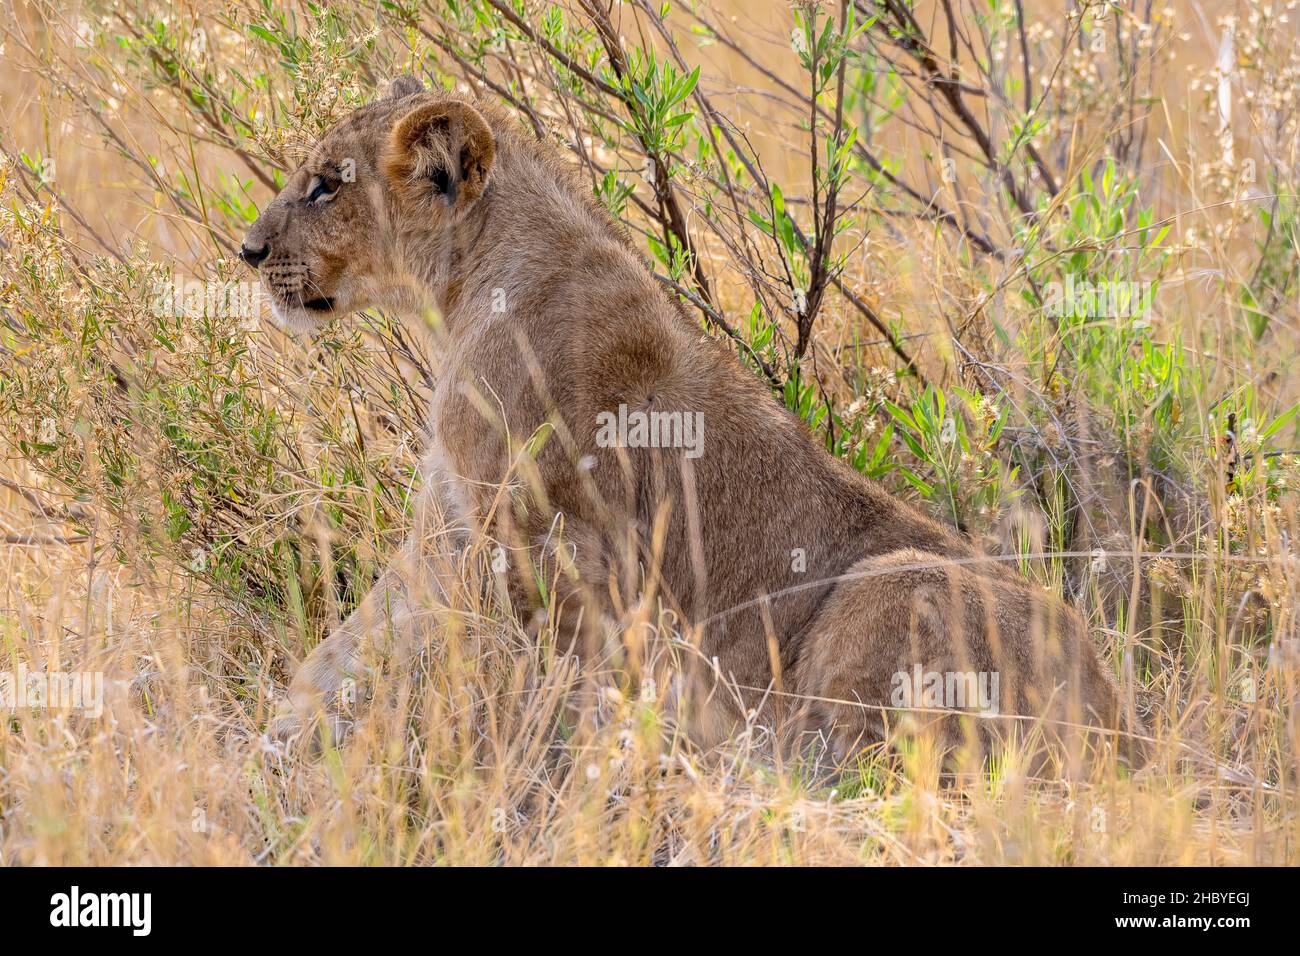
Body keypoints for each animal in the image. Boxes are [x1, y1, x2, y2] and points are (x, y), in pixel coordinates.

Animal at [242, 76, 1139, 767]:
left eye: (326, 185)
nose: (247, 253)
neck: (459, 293)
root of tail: (1123, 730)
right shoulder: (452, 523)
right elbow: (348, 642)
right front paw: (265, 750)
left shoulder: (560, 545)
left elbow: (555, 684)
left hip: (889, 589)